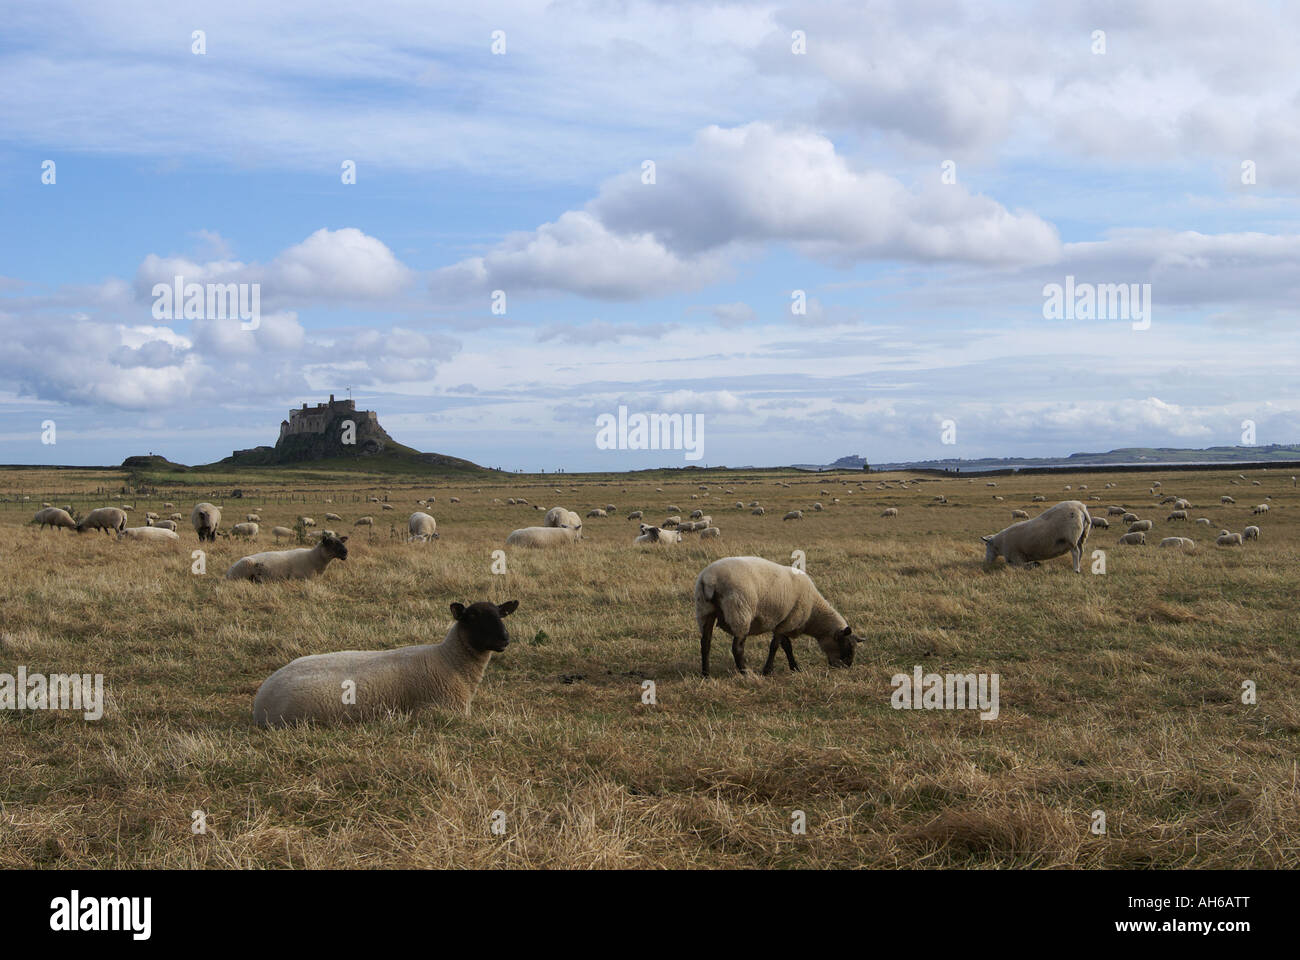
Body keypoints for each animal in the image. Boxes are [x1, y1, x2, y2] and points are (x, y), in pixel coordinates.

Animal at [253, 600, 519, 726]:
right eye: (472, 617)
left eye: (500, 614)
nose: (504, 638)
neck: (448, 660)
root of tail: (260, 699)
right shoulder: (443, 709)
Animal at [694, 556, 864, 677]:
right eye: (846, 646)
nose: (846, 668)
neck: (813, 613)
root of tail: (710, 579)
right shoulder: (787, 622)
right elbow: (775, 646)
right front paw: (767, 671)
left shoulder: (784, 621)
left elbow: (787, 646)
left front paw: (795, 668)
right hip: (740, 612)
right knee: (737, 647)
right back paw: (745, 673)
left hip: (705, 611)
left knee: (705, 643)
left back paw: (705, 674)